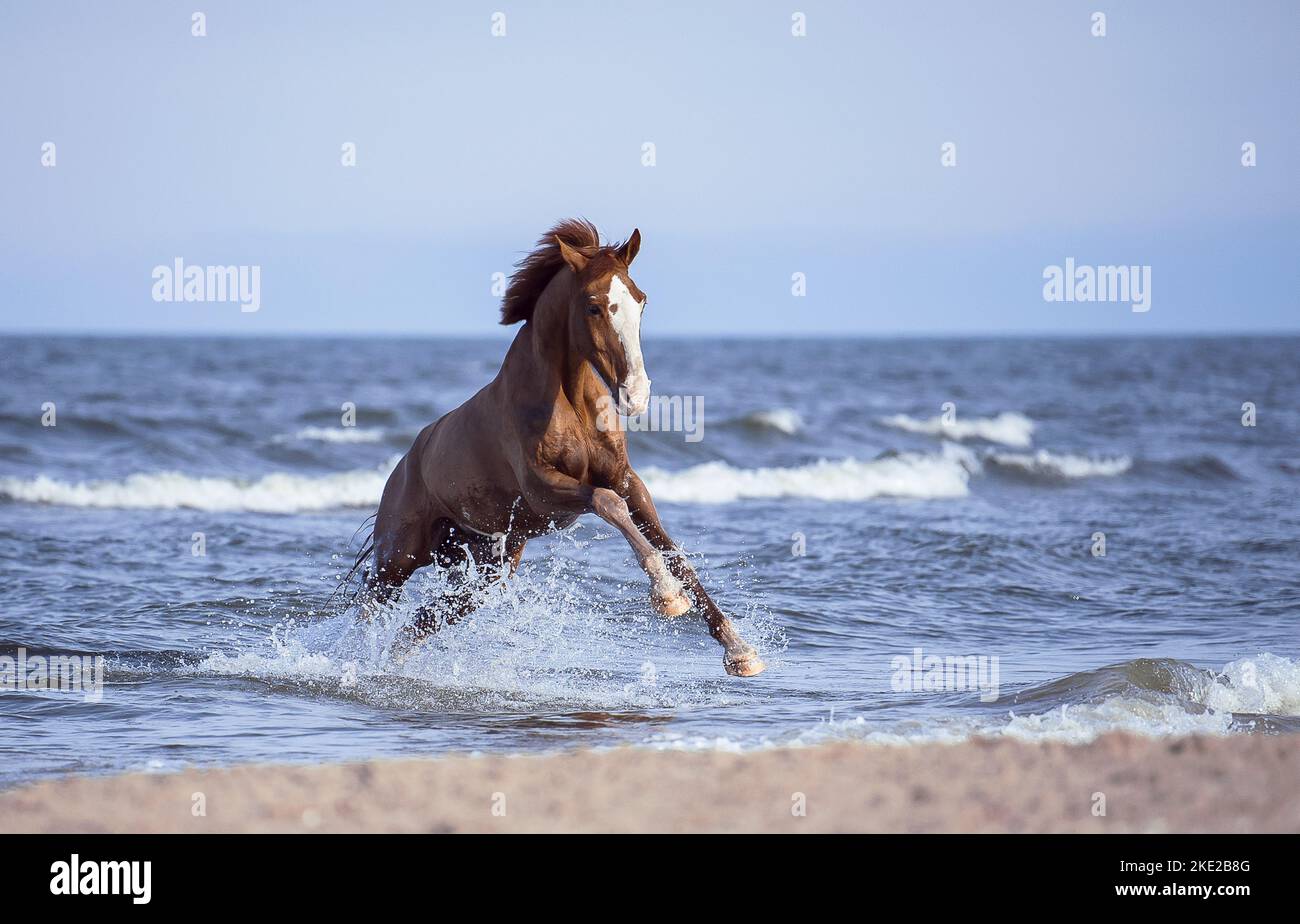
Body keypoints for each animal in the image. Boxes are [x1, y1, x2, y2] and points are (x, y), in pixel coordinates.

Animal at [353, 219, 765, 677]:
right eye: (593, 306)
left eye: (640, 301)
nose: (636, 395)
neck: (572, 405)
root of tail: (406, 462)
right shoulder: (544, 491)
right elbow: (608, 504)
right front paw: (666, 595)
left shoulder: (627, 481)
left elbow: (673, 550)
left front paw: (740, 650)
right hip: (398, 557)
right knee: (370, 605)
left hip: (487, 569)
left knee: (425, 620)